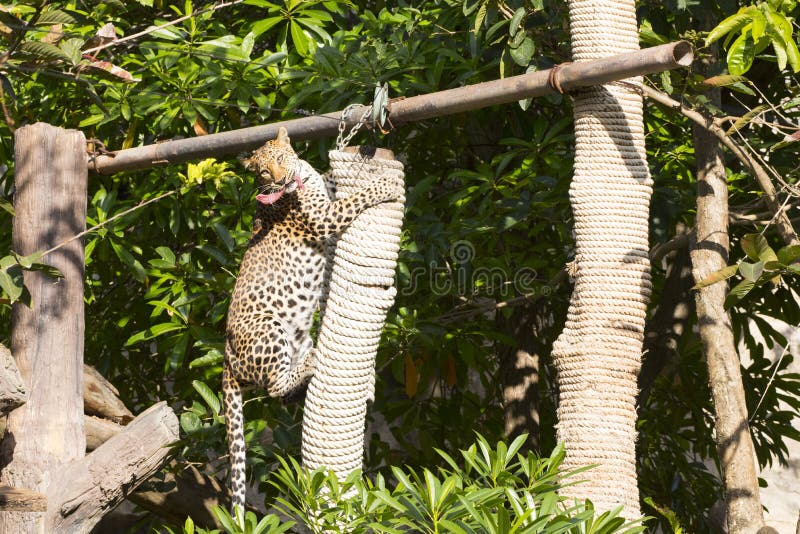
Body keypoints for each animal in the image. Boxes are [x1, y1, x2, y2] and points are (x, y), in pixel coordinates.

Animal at [222, 126, 403, 514]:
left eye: (279, 160)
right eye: (262, 172)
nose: (276, 180)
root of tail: (227, 359)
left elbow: (334, 183)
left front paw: (335, 172)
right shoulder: (324, 220)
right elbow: (359, 197)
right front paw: (385, 186)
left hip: (297, 335)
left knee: (284, 394)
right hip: (269, 327)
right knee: (274, 386)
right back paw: (309, 364)